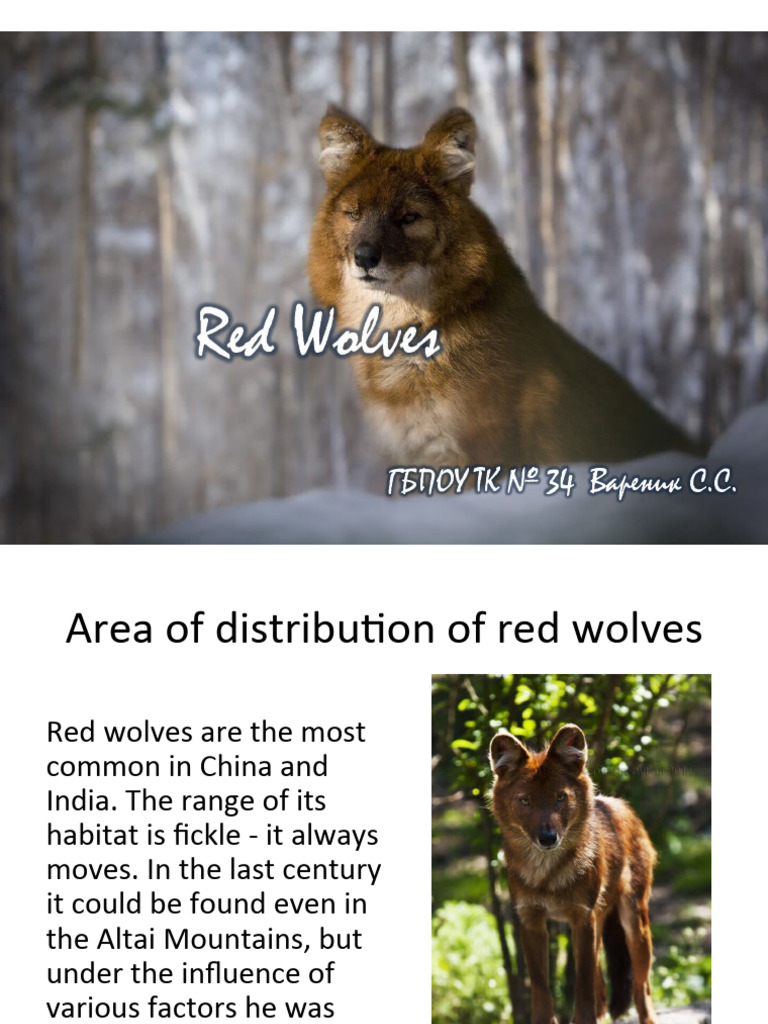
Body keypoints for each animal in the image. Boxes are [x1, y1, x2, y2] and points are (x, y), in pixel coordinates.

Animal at [489, 724, 658, 1024]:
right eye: (525, 801)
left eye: (560, 797)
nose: (548, 838)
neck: (547, 875)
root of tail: (621, 805)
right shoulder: (530, 920)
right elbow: (540, 984)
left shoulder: (582, 917)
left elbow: (582, 982)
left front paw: (583, 1018)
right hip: (600, 924)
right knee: (601, 985)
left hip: (633, 922)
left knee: (642, 986)